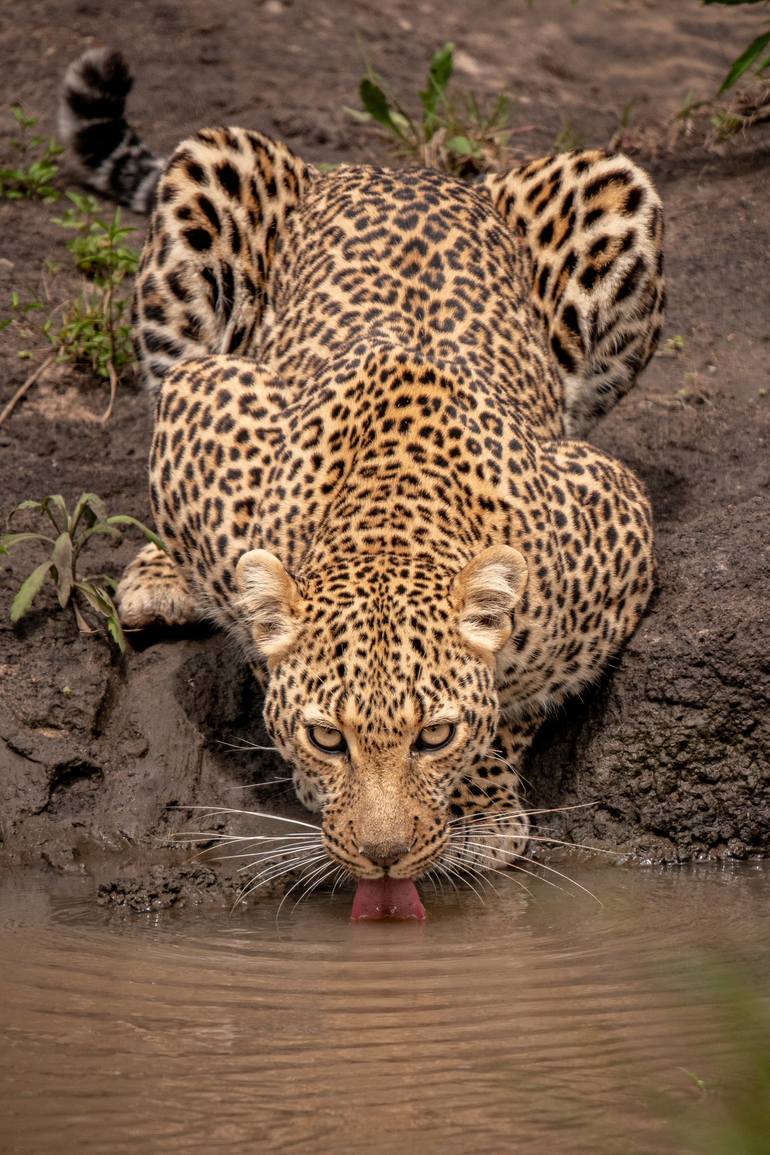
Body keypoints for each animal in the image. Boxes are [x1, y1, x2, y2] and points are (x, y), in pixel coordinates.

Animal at [59, 48, 662, 892]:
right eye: (328, 737)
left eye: (434, 735)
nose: (383, 856)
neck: (391, 512)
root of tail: (395, 166)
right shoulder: (198, 407)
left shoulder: (614, 510)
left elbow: (514, 698)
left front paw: (480, 806)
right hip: (207, 181)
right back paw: (158, 574)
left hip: (612, 188)